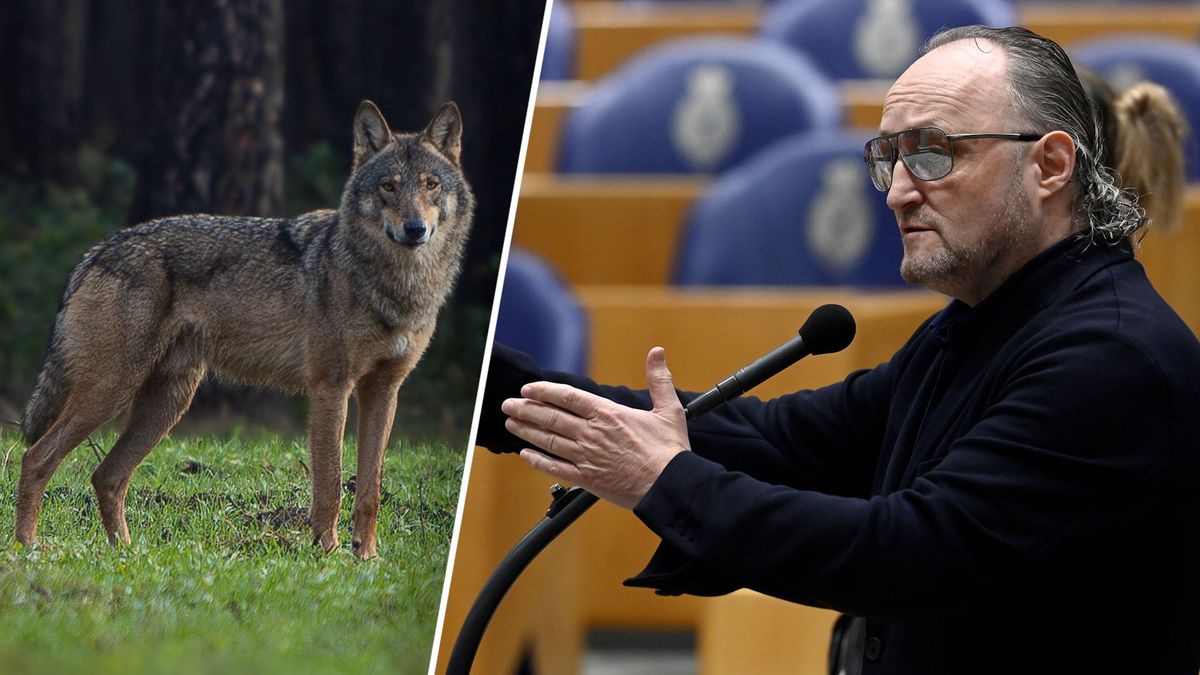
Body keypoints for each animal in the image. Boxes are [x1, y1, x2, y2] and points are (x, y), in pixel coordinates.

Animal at [14, 100, 475, 559]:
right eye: (389, 187)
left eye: (431, 185)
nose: (414, 229)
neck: (395, 287)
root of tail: (95, 252)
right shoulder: (331, 387)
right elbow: (330, 484)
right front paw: (326, 552)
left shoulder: (383, 391)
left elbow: (370, 489)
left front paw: (366, 557)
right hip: (112, 391)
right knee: (36, 458)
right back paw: (28, 547)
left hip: (165, 405)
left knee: (106, 476)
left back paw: (126, 555)